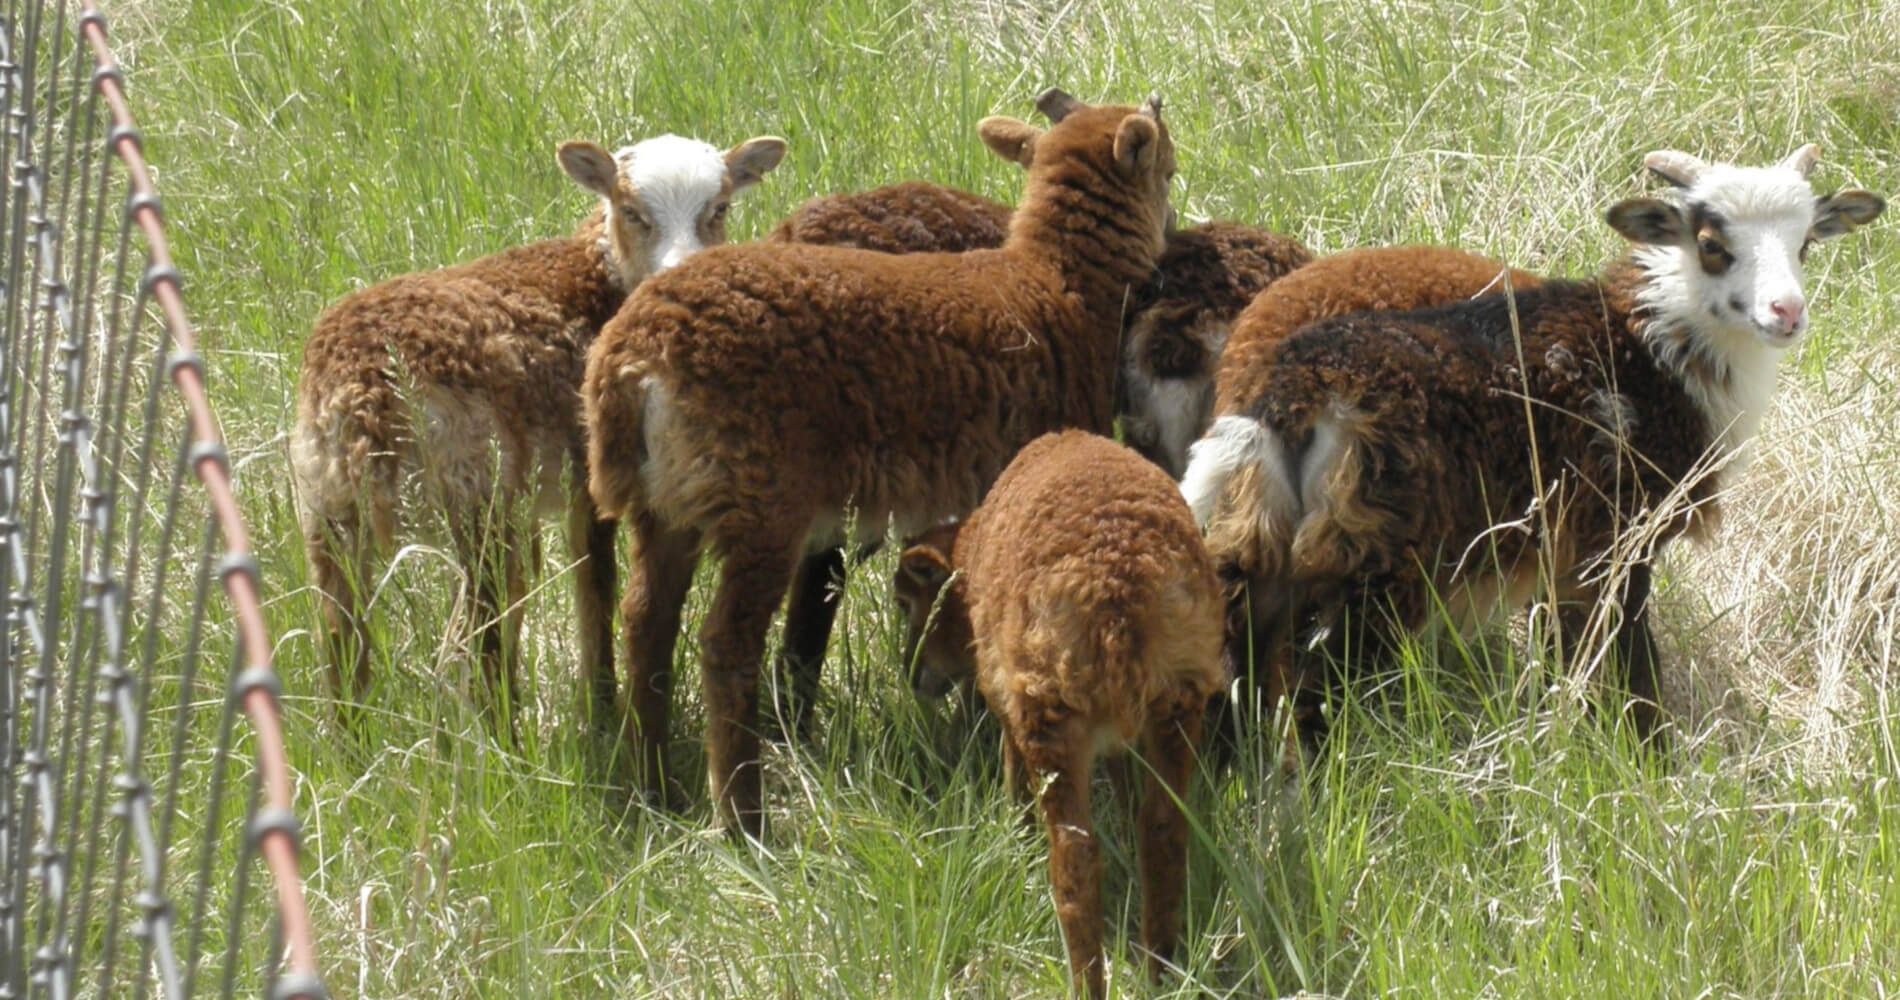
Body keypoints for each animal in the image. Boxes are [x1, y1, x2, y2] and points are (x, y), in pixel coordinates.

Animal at [292, 132, 786, 728]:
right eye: (631, 212)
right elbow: (595, 586)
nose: (680, 275)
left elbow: (529, 594)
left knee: (342, 642)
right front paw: (600, 705)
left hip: (327, 501)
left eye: (720, 210)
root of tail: (363, 391)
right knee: (468, 640)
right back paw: (496, 739)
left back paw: (355, 744)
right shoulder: (587, 475)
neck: (602, 279)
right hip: (472, 489)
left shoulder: (526, 499)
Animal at [582, 89, 1177, 837]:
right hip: (759, 498)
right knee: (725, 647)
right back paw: (743, 820)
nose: (1177, 237)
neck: (1054, 282)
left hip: (663, 499)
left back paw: (654, 786)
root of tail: (633, 356)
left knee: (645, 625)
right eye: (1171, 173)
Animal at [893, 430, 1224, 1000]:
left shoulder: (1004, 692)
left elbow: (1012, 772)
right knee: (1162, 830)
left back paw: (1087, 977)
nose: (911, 673)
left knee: (1076, 860)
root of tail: (1119, 593)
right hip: (1179, 697)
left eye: (908, 602)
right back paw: (1159, 967)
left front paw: (1016, 833)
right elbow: (1124, 778)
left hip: (1049, 705)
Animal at [1182, 146, 1885, 751]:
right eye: (1712, 245)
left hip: (1258, 537)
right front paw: (1649, 760)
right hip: (1374, 557)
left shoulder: (1562, 548)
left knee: (1241, 667)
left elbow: (1567, 651)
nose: (1787, 313)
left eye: (1806, 243)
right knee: (1318, 683)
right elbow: (1632, 663)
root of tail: (1294, 388)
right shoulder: (1615, 537)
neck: (1655, 344)